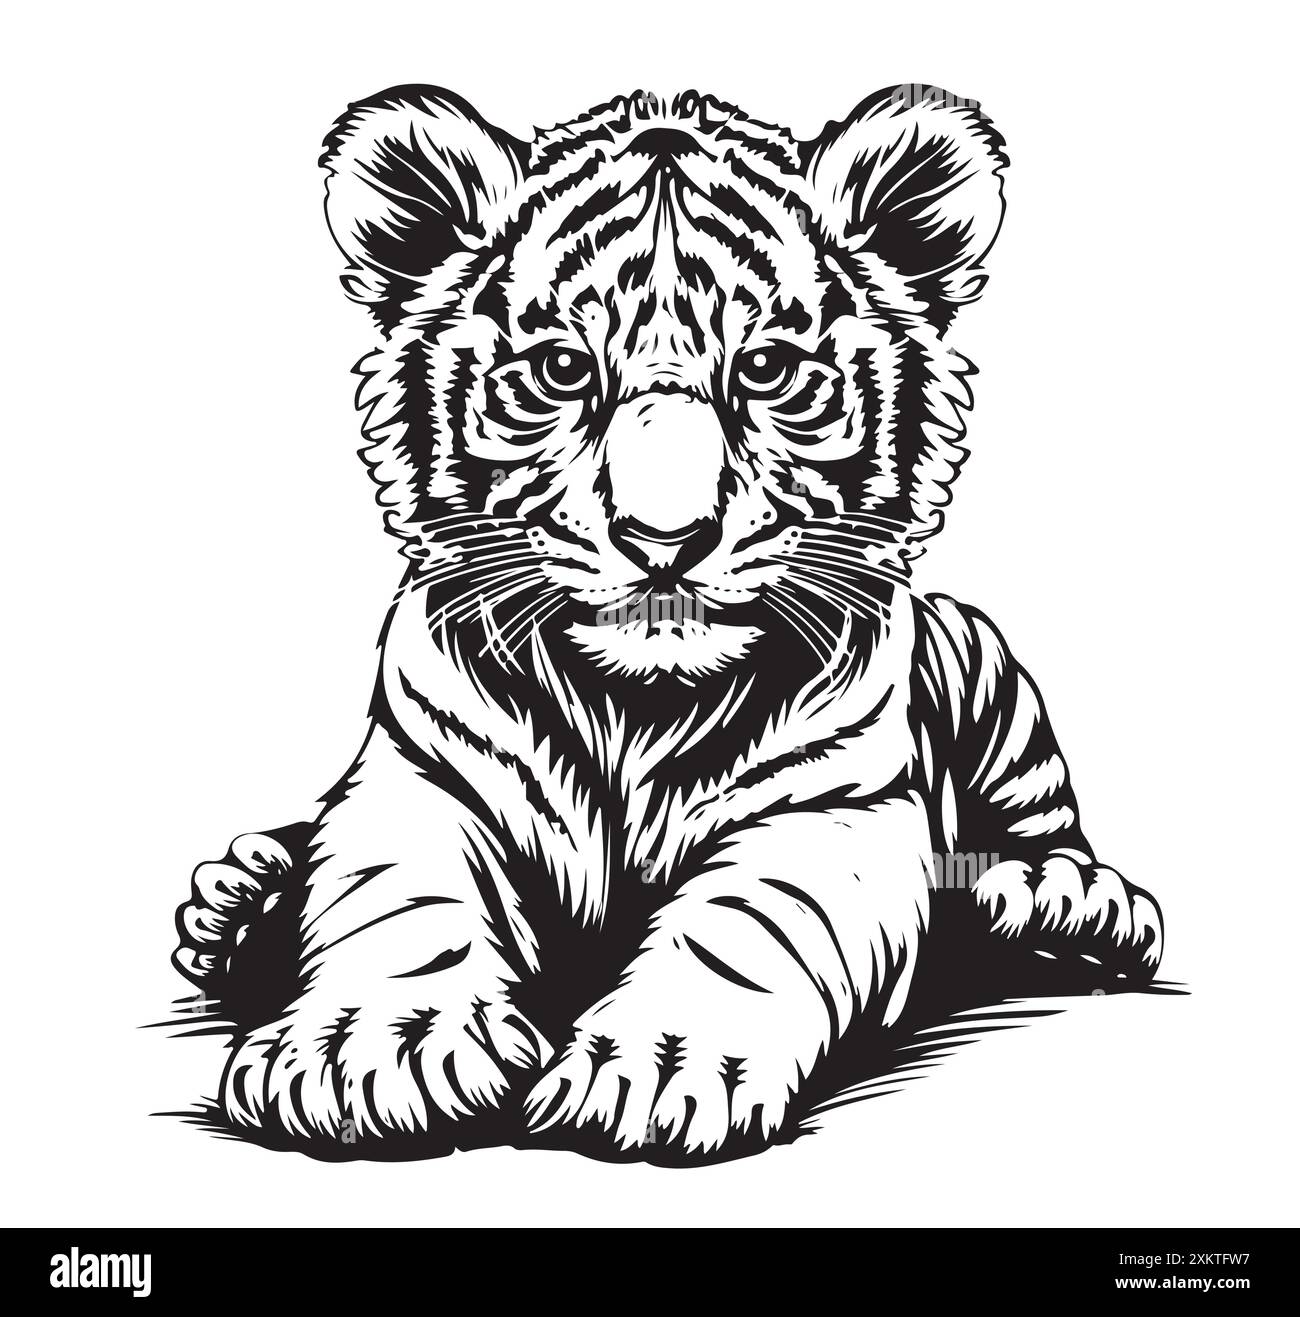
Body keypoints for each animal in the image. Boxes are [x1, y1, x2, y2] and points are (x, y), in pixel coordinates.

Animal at [174, 84, 1164, 1161]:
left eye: (767, 368)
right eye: (562, 369)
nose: (664, 538)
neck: (635, 705)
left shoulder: (832, 806)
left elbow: (746, 925)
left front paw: (659, 1067)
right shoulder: (423, 769)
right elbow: (398, 897)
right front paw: (368, 1049)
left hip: (992, 685)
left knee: (1045, 828)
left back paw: (1060, 904)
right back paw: (243, 896)